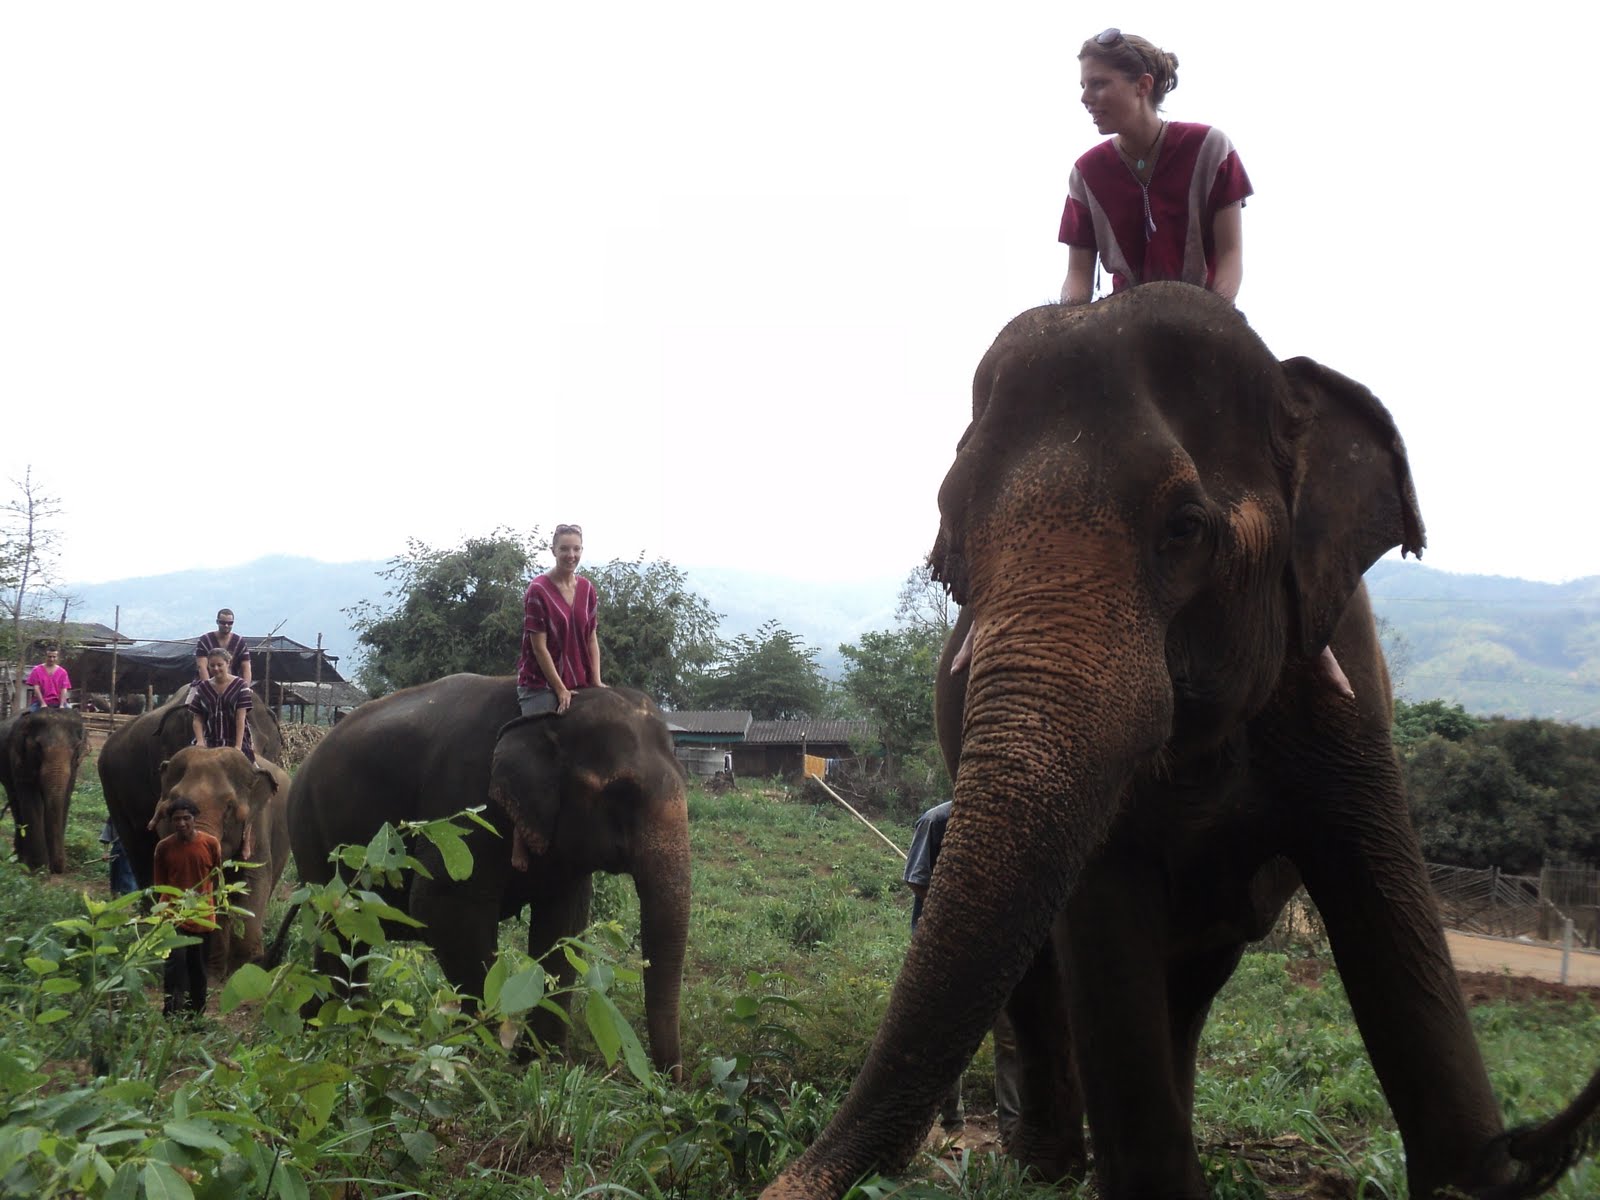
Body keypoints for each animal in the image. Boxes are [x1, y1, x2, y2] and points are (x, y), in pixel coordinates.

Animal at [0, 707, 87, 873]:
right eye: (38, 746)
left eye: (76, 747)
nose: (58, 868)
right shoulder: (19, 759)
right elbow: (32, 799)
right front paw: (38, 868)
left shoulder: (74, 768)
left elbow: (65, 797)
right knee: (16, 803)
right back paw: (19, 856)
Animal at [282, 676, 689, 1076]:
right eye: (620, 793)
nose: (664, 1081)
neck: (547, 720)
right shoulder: (464, 799)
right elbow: (444, 908)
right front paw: (483, 1059)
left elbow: (565, 922)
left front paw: (541, 1066)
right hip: (307, 829)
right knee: (337, 922)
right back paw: (336, 1028)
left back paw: (334, 1022)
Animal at [763, 283, 1600, 1200]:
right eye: (951, 564)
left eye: (1186, 527)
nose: (1531, 1144)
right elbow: (1105, 920)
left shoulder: (1344, 683)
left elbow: (1383, 887)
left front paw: (1469, 1179)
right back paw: (1047, 1168)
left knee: (1193, 979)